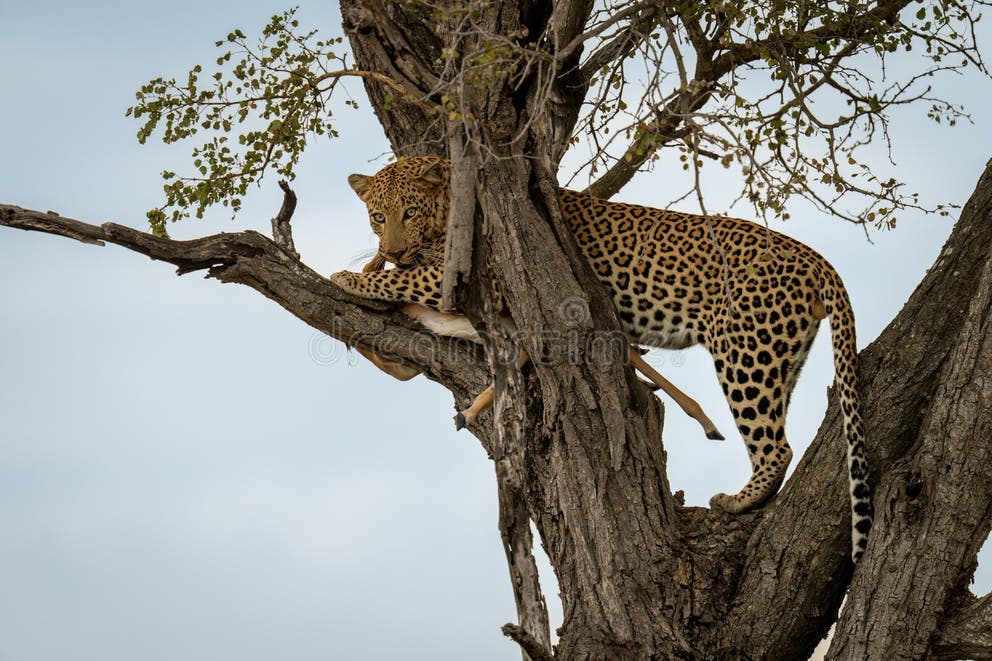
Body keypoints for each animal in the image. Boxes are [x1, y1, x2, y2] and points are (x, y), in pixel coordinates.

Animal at [331, 156, 874, 562]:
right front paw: (370, 273)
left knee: (775, 444)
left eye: (409, 211)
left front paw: (349, 277)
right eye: (378, 216)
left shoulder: (474, 283)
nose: (392, 248)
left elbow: (407, 282)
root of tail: (814, 257)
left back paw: (738, 499)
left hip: (747, 352)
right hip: (780, 353)